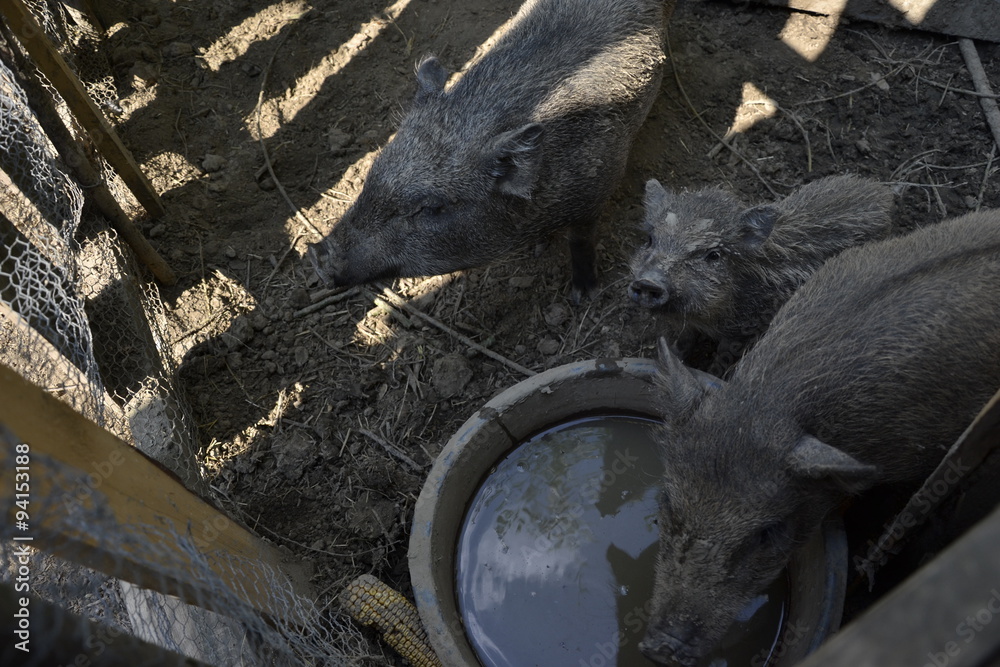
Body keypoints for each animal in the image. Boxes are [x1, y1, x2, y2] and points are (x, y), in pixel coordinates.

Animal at [308, 0, 674, 302]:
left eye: (431, 208)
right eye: (373, 170)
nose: (318, 256)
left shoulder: (596, 189)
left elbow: (581, 241)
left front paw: (583, 296)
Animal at [629, 174, 893, 373]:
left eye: (713, 255)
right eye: (650, 239)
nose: (648, 281)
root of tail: (882, 192)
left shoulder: (745, 327)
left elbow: (724, 356)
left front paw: (712, 372)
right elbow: (684, 340)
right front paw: (671, 357)